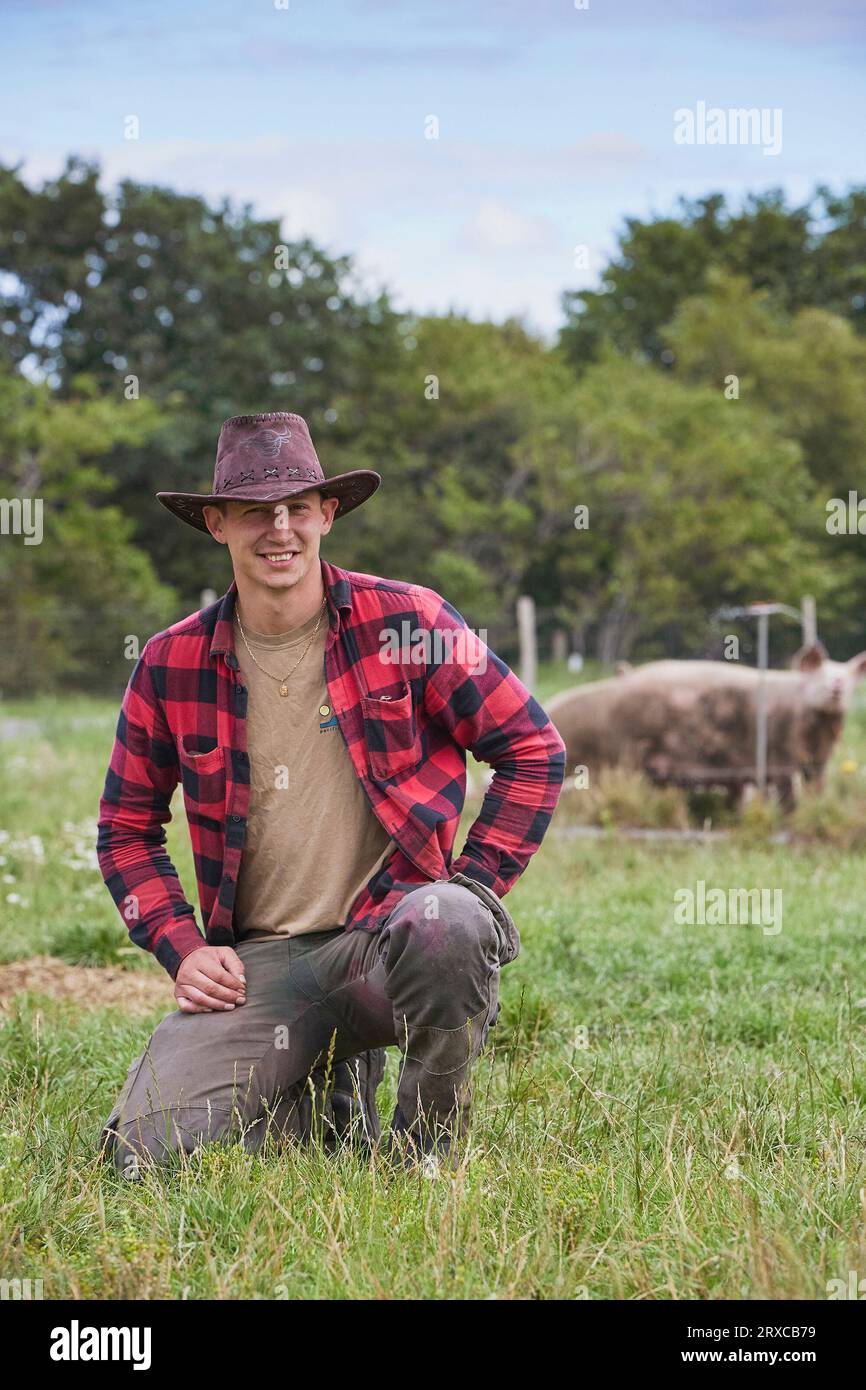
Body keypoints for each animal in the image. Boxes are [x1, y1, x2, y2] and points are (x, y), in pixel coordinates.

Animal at [544, 644, 866, 809]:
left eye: (849, 679)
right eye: (819, 678)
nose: (836, 686)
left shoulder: (818, 765)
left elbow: (815, 791)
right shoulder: (780, 760)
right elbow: (787, 798)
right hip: (622, 759)